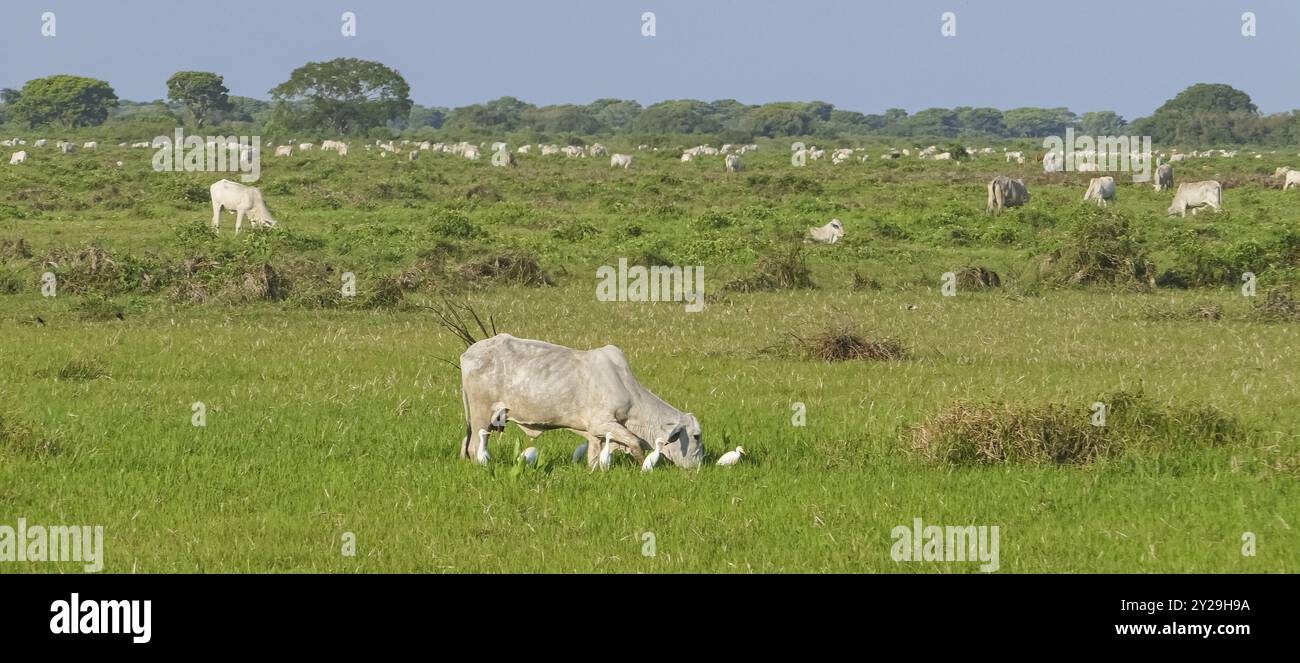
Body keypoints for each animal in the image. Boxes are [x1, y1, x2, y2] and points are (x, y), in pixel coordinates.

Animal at [459, 334, 705, 468]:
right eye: (696, 436)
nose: (699, 466)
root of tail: (468, 352)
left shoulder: (595, 433)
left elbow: (594, 456)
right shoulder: (603, 423)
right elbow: (635, 443)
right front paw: (641, 463)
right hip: (481, 414)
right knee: (474, 447)